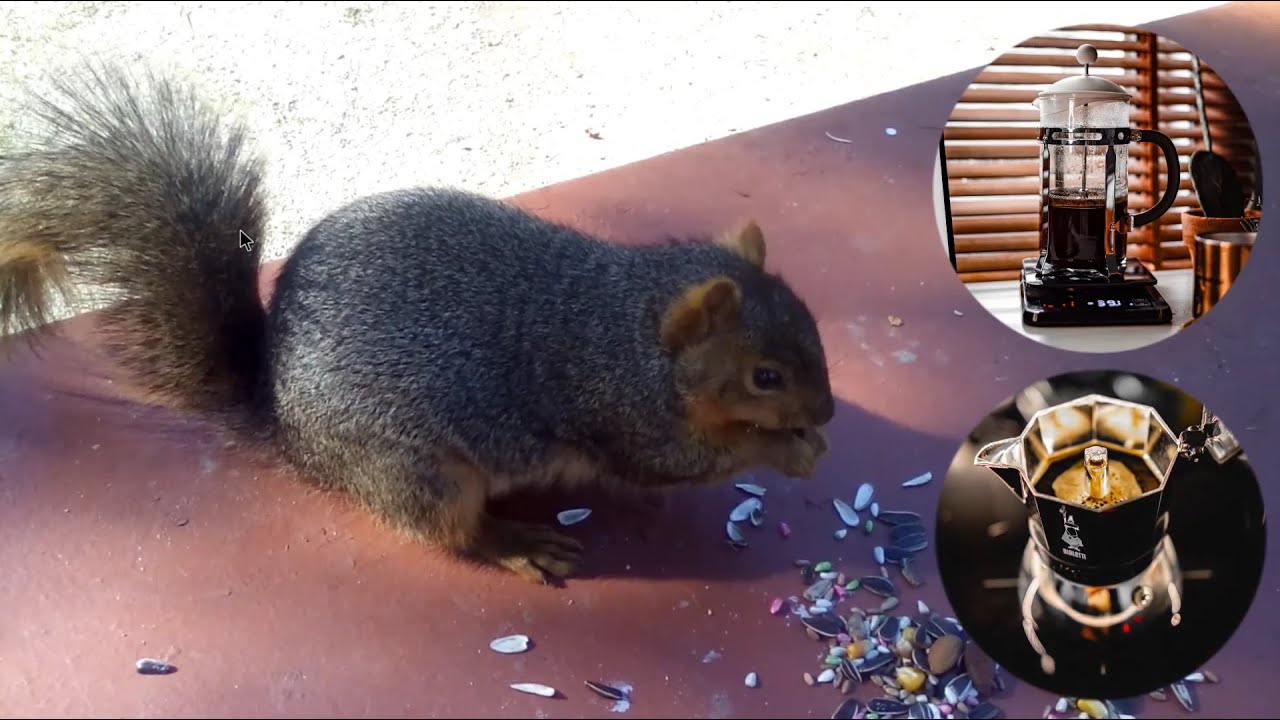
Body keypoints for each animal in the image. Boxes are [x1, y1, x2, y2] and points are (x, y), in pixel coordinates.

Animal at [0, 63, 835, 585]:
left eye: (813, 327)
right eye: (765, 376)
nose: (827, 410)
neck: (631, 321)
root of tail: (292, 436)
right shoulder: (625, 411)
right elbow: (682, 463)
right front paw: (788, 449)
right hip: (420, 470)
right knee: (449, 532)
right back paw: (514, 541)